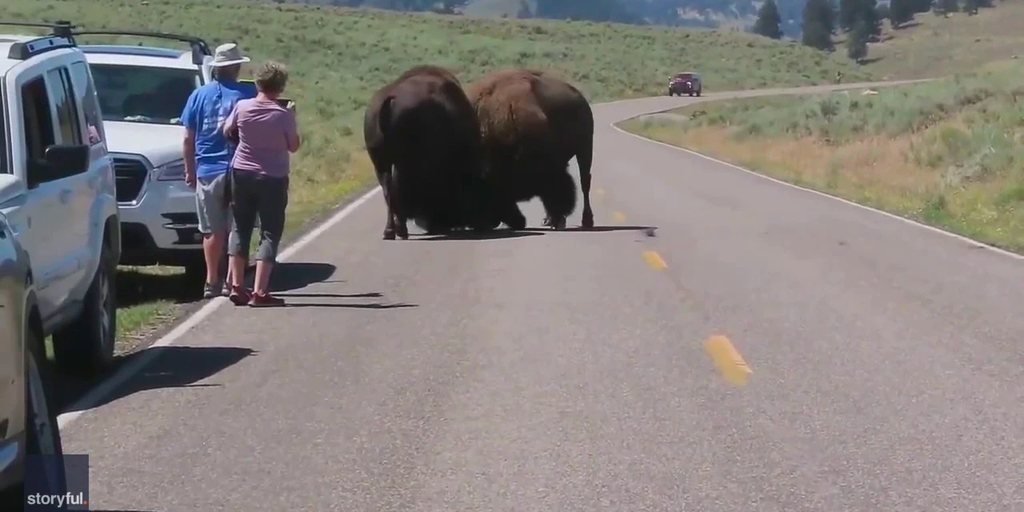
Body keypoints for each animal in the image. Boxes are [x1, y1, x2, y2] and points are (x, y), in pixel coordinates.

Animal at [363, 65, 490, 240]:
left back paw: (390, 231)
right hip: (400, 163)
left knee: (389, 191)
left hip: (381, 163)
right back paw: (401, 230)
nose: (482, 223)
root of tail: (390, 100)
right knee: (396, 190)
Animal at [465, 68, 595, 231]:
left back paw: (586, 221)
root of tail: (580, 97)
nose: (481, 223)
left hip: (585, 148)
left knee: (585, 182)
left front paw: (558, 220)